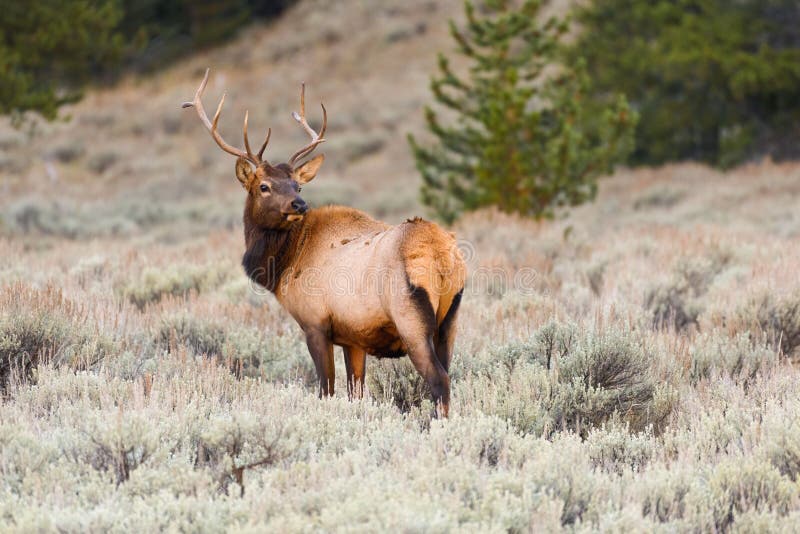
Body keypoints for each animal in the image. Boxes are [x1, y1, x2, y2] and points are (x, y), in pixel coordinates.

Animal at [182, 69, 466, 416]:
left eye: (297, 186)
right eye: (265, 186)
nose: (298, 204)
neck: (284, 264)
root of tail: (444, 257)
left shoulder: (315, 324)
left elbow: (325, 389)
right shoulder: (353, 338)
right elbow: (356, 392)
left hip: (411, 318)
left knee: (439, 380)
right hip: (450, 321)